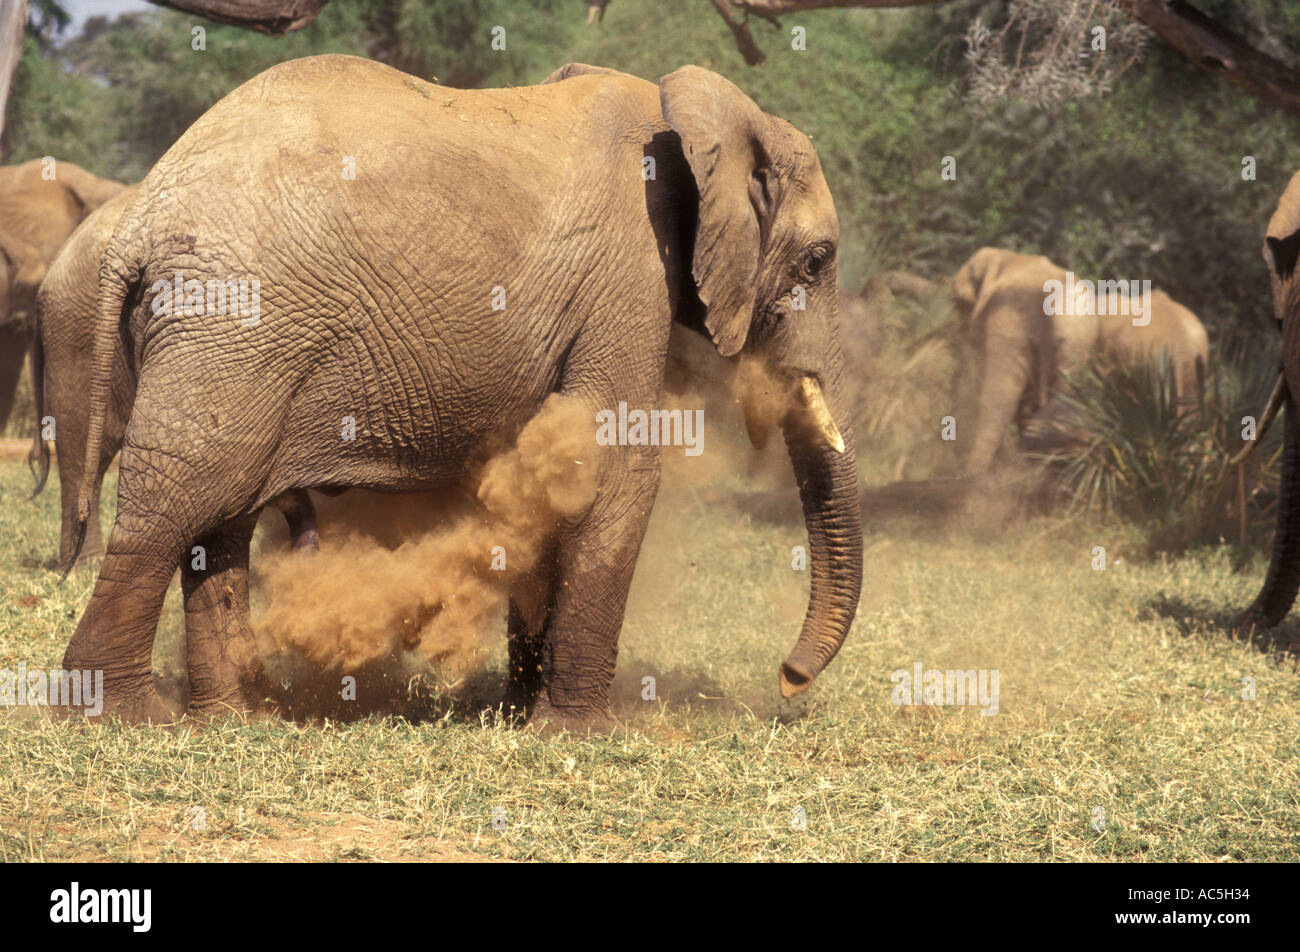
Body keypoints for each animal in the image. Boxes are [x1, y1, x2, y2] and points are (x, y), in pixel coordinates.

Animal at [64, 55, 864, 729]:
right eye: (818, 260)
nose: (789, 678)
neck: (692, 115)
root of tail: (138, 222)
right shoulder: (632, 265)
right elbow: (612, 468)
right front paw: (577, 732)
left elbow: (546, 470)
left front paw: (520, 713)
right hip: (234, 326)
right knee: (179, 499)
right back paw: (126, 715)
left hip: (228, 342)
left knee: (222, 516)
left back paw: (236, 717)